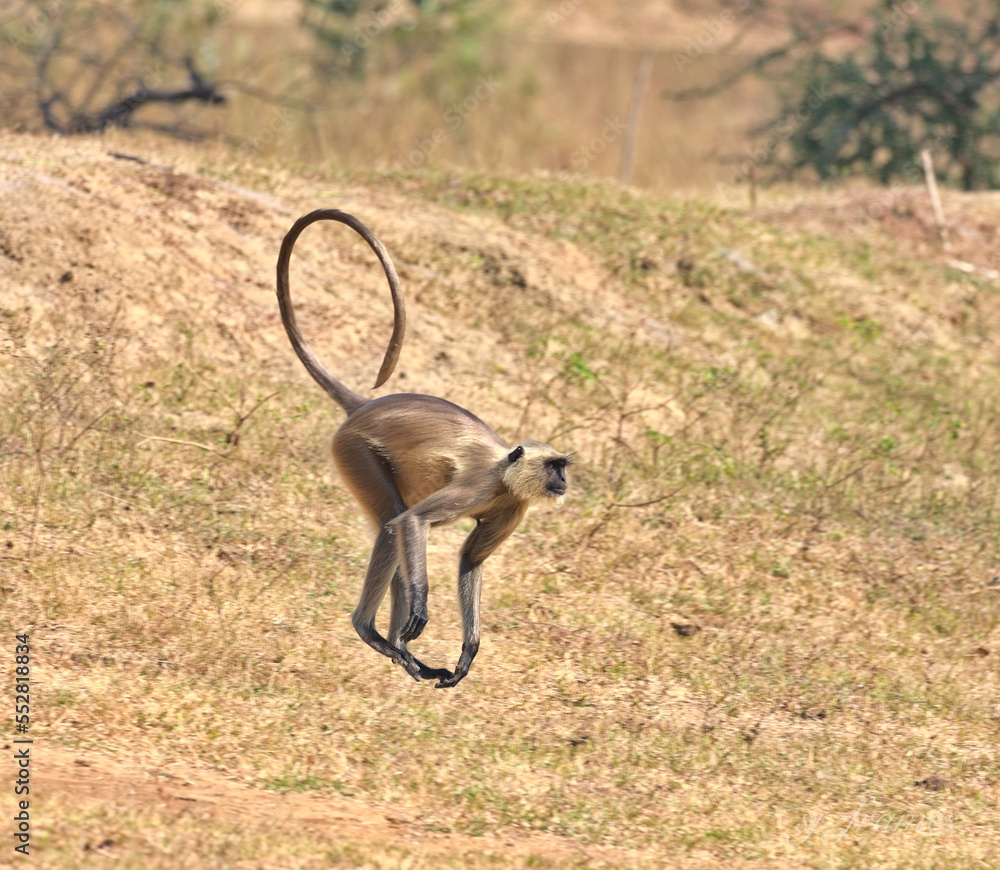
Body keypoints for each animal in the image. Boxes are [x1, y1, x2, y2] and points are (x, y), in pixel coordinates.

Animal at [276, 209, 571, 688]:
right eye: (553, 466)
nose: (562, 481)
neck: (505, 477)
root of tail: (367, 404)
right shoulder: (480, 484)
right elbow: (414, 522)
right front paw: (420, 604)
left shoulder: (514, 506)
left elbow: (469, 560)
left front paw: (469, 650)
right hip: (353, 450)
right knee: (394, 521)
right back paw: (373, 633)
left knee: (395, 524)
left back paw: (403, 654)